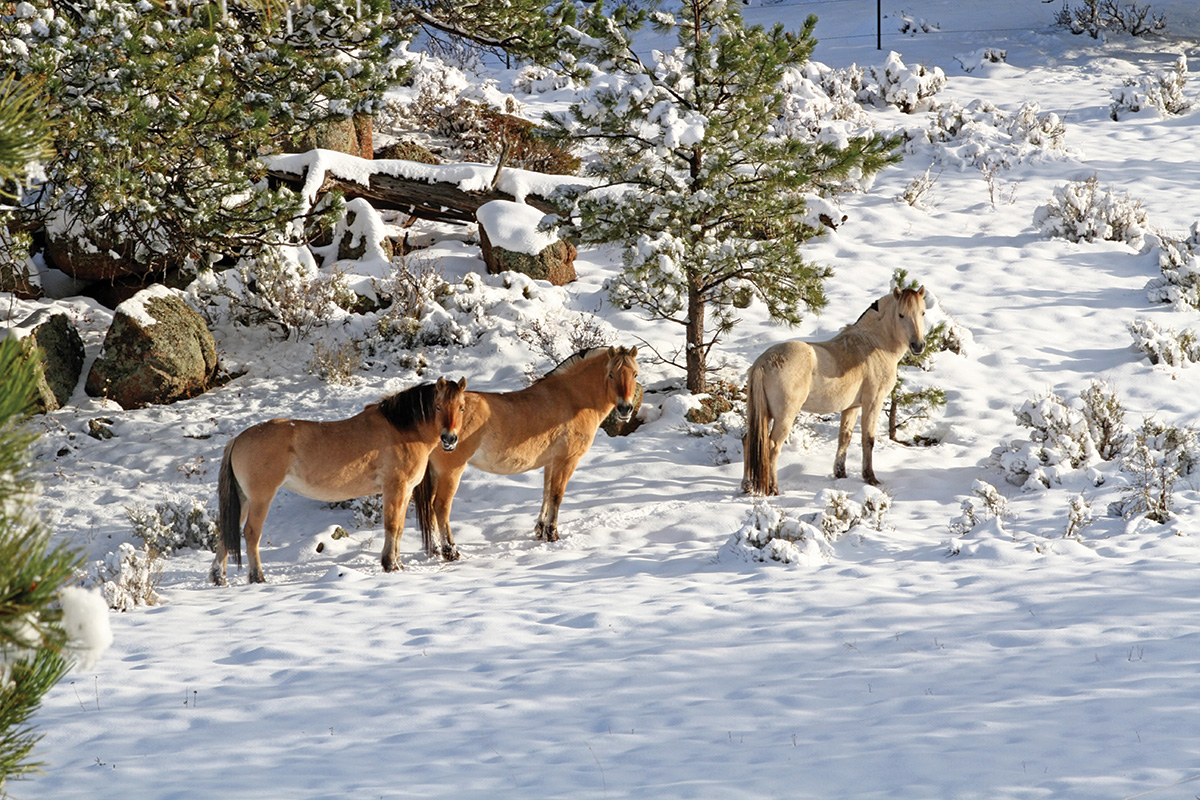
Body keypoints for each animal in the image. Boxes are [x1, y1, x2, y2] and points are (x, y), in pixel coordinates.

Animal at [210, 377, 468, 585]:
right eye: (437, 406)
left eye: (462, 407)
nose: (449, 439)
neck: (402, 431)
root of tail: (237, 439)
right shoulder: (395, 488)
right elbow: (393, 526)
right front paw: (390, 565)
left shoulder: (404, 492)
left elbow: (400, 528)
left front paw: (397, 564)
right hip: (260, 498)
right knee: (252, 533)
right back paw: (258, 578)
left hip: (243, 499)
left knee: (226, 531)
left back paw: (219, 578)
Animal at [413, 346, 639, 559]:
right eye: (611, 374)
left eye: (635, 374)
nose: (625, 409)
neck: (572, 398)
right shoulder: (566, 460)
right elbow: (557, 495)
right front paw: (553, 534)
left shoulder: (551, 461)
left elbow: (547, 493)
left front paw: (541, 531)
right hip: (451, 471)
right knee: (440, 506)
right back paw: (451, 551)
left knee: (430, 509)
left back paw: (436, 549)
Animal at [742, 286, 927, 495]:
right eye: (901, 314)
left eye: (922, 312)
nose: (918, 346)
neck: (873, 343)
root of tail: (762, 363)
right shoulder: (873, 401)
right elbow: (868, 439)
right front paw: (870, 478)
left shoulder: (852, 407)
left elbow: (844, 438)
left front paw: (840, 473)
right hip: (784, 416)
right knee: (772, 446)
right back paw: (773, 489)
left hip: (764, 413)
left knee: (748, 441)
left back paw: (747, 485)